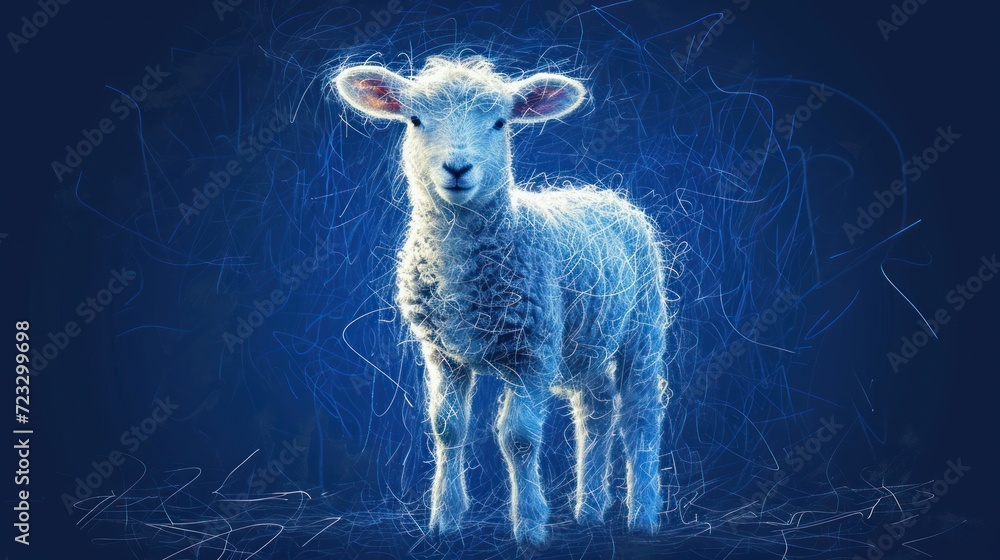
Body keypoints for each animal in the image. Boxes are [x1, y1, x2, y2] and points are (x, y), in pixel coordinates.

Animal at [333, 56, 670, 545]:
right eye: (414, 120)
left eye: (499, 123)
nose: (458, 168)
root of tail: (605, 194)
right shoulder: (442, 353)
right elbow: (448, 428)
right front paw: (445, 519)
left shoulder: (530, 352)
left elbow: (519, 438)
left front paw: (529, 525)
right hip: (581, 346)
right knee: (597, 410)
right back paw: (589, 509)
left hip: (642, 326)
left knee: (639, 416)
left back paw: (642, 516)